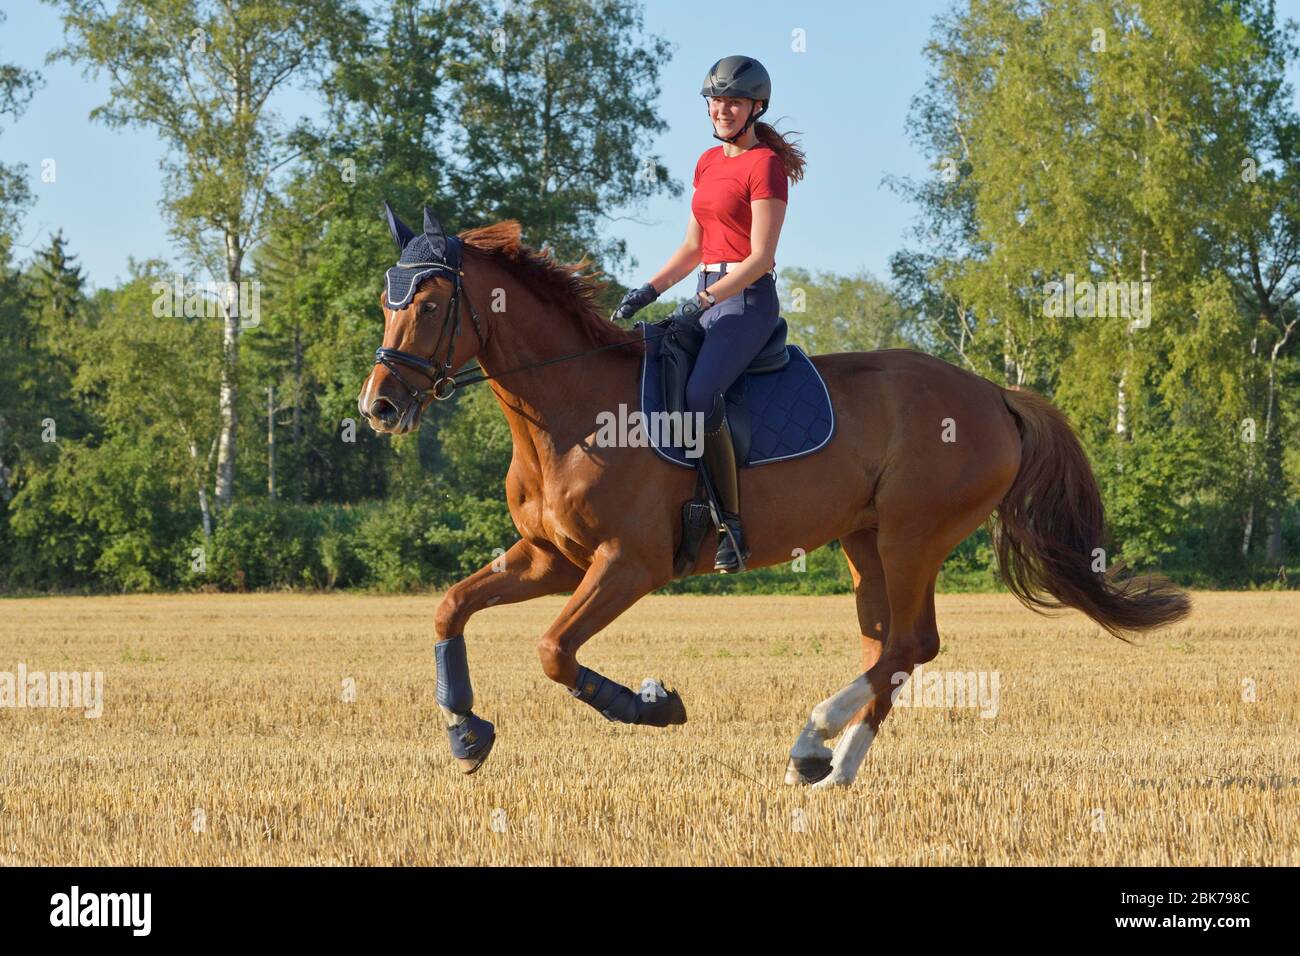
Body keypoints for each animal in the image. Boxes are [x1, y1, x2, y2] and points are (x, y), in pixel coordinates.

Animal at [357, 205, 1191, 787]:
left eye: (428, 306)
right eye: (385, 301)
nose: (379, 406)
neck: (568, 413)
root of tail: (992, 394)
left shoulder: (629, 563)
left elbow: (555, 651)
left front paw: (654, 706)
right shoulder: (550, 557)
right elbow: (451, 608)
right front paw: (465, 734)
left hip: (912, 533)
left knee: (908, 645)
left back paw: (815, 743)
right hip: (866, 542)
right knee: (892, 645)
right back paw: (827, 761)